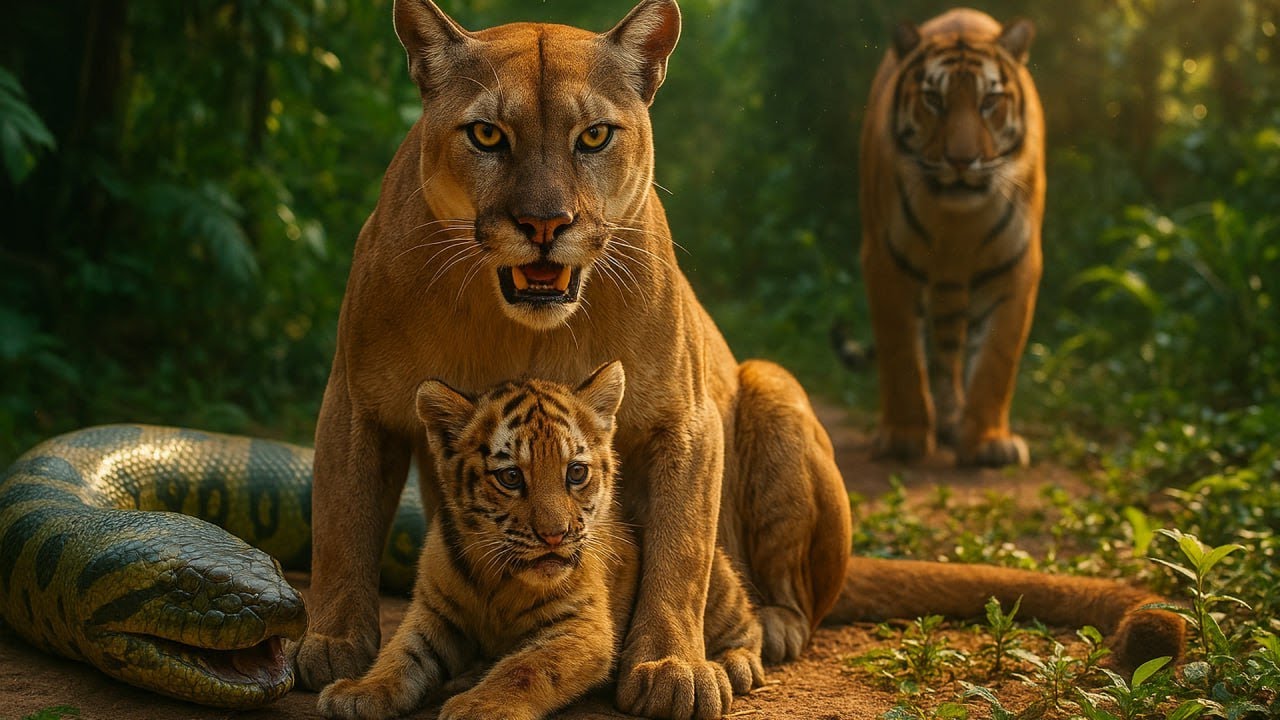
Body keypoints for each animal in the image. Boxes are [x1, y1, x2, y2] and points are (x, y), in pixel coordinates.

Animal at [316, 362, 765, 720]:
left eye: (576, 472)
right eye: (511, 476)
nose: (555, 535)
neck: (498, 578)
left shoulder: (582, 626)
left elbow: (525, 667)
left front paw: (478, 706)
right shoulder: (433, 613)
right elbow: (400, 656)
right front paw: (358, 692)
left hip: (712, 577)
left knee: (746, 624)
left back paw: (733, 667)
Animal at [858, 8, 1046, 467]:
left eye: (989, 101)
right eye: (934, 100)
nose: (962, 160)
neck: (958, 223)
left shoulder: (1017, 266)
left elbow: (996, 359)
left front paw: (987, 442)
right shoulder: (884, 262)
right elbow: (901, 354)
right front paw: (904, 437)